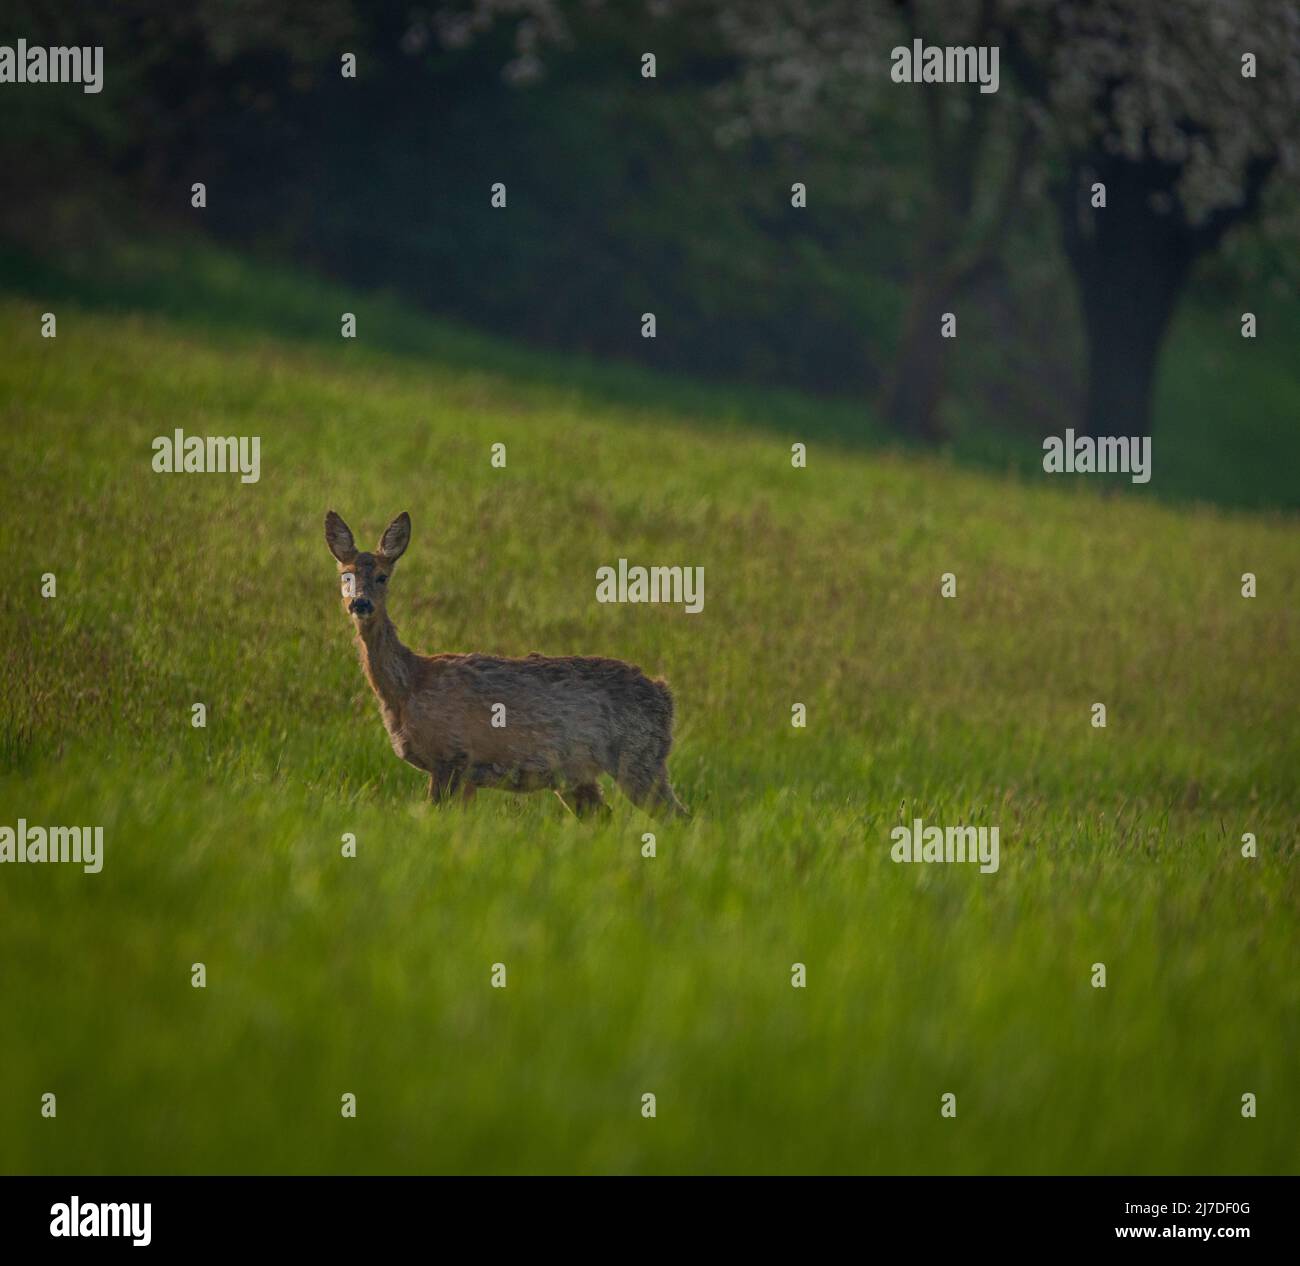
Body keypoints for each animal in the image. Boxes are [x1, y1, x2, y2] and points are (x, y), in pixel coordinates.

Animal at [324, 510, 689, 820]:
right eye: (345, 575)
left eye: (383, 576)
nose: (361, 603)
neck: (408, 685)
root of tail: (665, 695)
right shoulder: (465, 773)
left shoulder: (452, 756)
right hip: (577, 776)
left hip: (639, 756)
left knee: (678, 817)